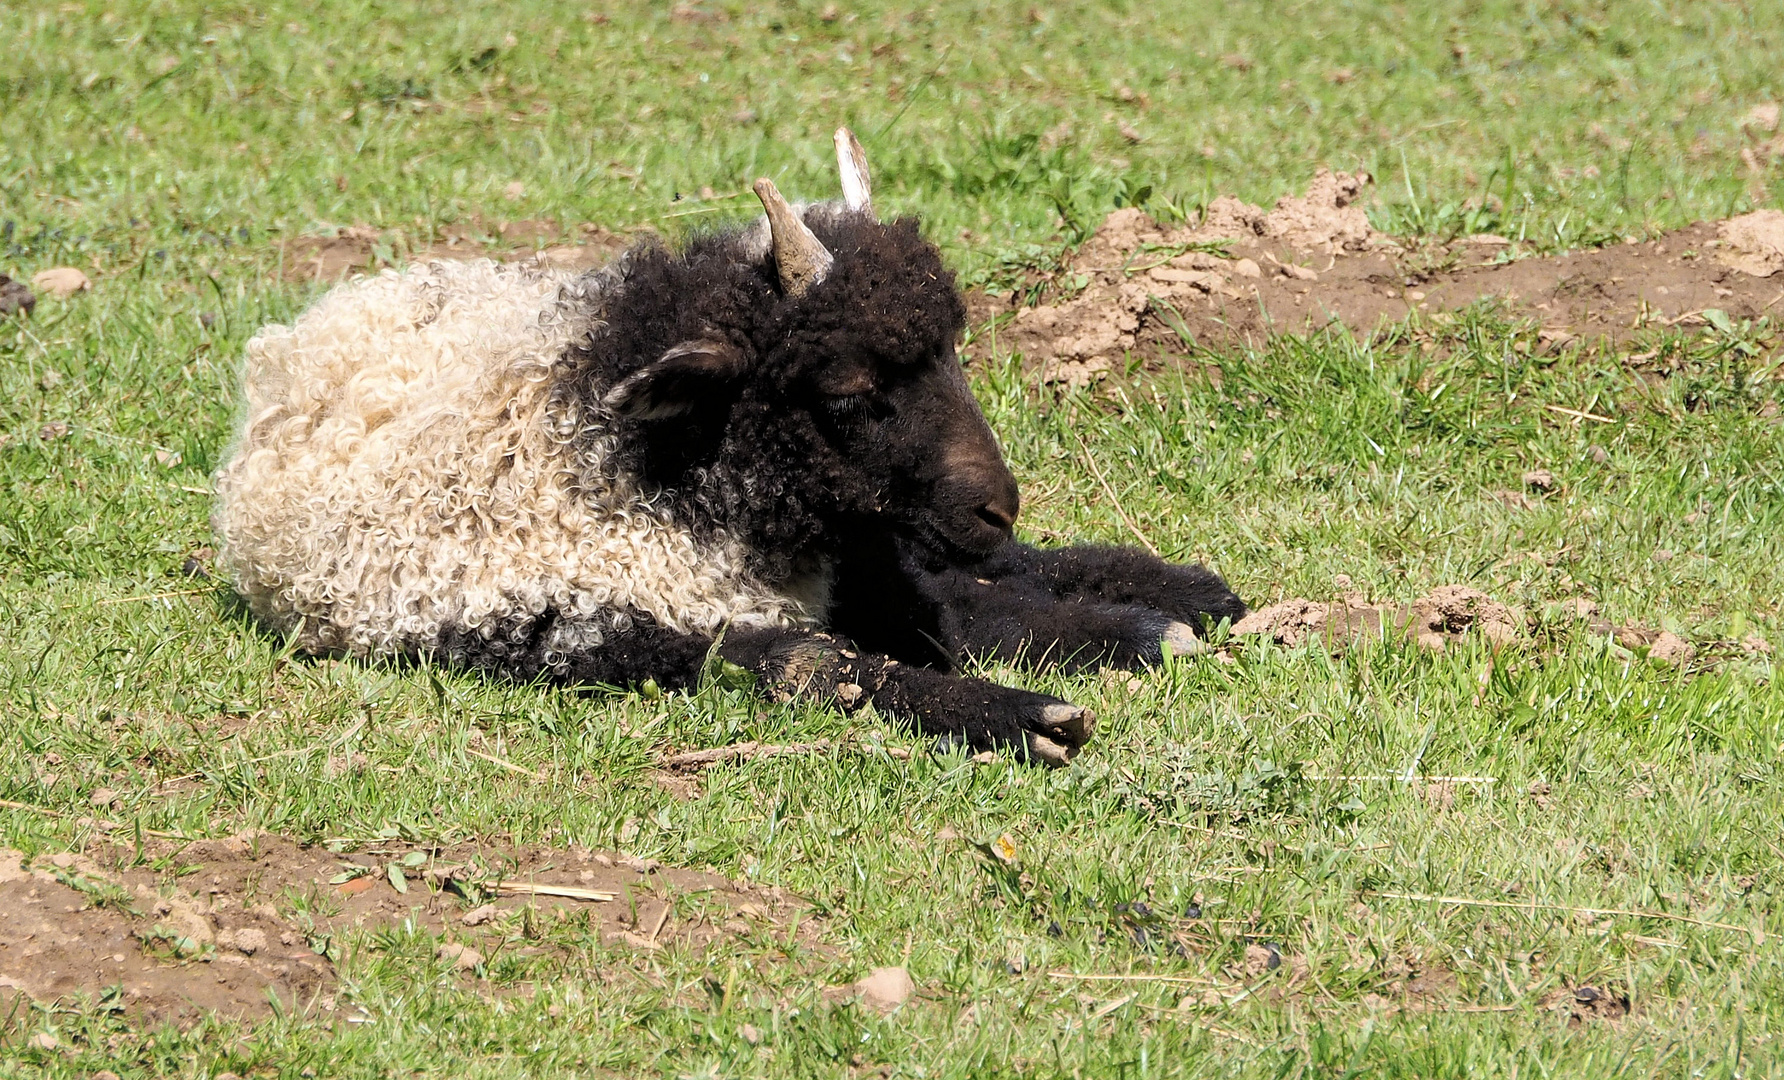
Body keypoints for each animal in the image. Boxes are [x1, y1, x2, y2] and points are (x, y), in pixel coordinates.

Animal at [215, 130, 1248, 764]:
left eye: (955, 350)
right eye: (850, 392)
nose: (999, 505)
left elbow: (943, 611)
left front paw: (1141, 618)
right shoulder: (607, 625)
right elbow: (825, 665)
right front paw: (1025, 712)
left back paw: (1180, 592)